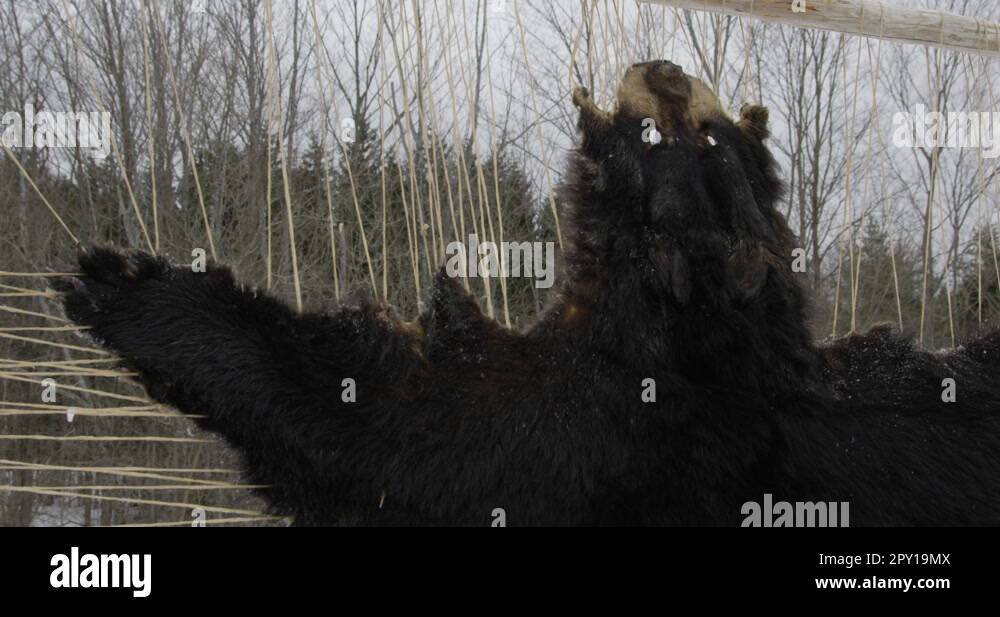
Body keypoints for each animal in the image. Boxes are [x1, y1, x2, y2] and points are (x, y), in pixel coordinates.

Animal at [55, 60, 1000, 526]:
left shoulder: (574, 436)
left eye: (702, 138)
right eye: (663, 130)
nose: (666, 71)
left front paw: (121, 282)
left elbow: (380, 424)